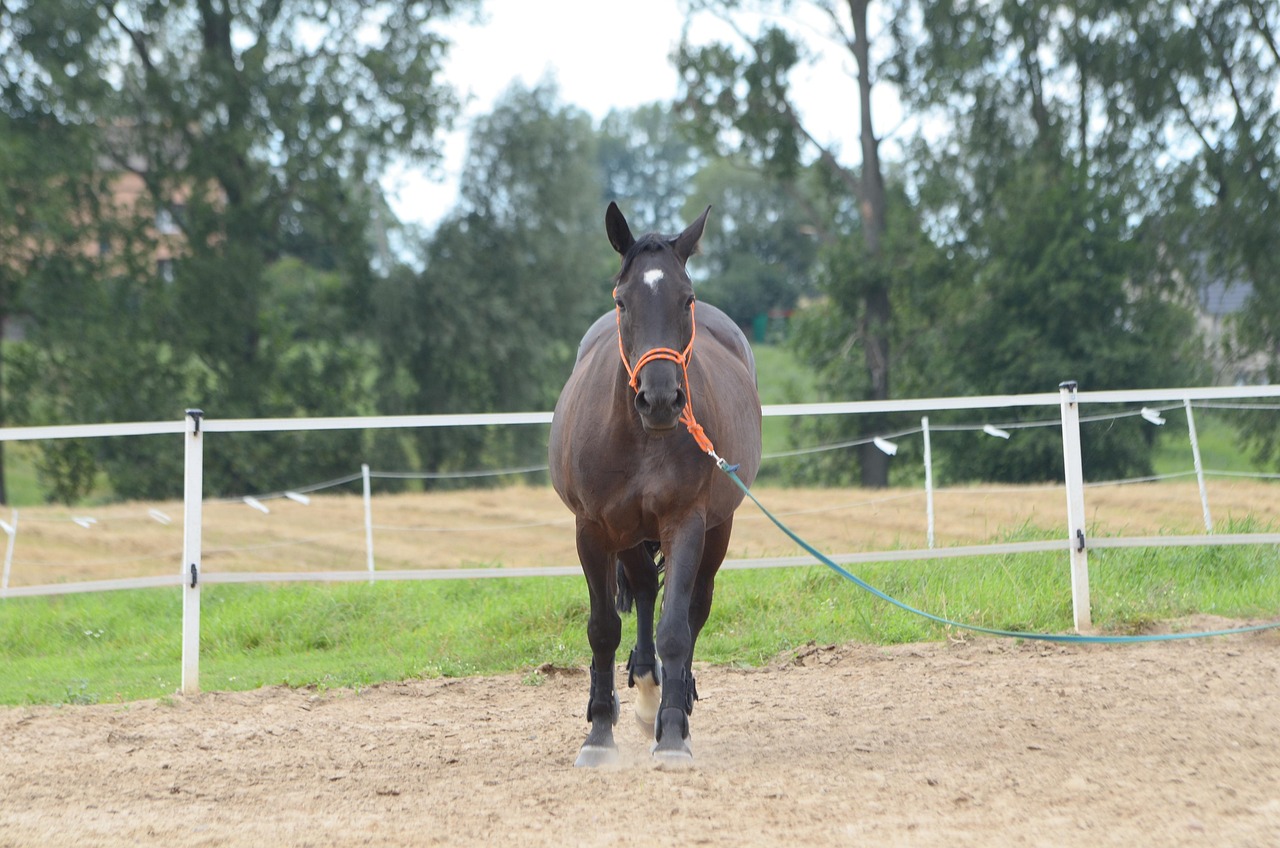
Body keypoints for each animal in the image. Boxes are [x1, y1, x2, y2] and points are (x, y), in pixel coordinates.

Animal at [548, 202, 763, 767]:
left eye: (686, 298)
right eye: (622, 301)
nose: (661, 398)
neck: (641, 437)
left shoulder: (685, 523)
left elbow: (675, 629)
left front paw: (671, 734)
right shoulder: (593, 528)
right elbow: (603, 628)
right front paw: (599, 732)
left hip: (717, 529)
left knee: (693, 609)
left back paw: (671, 702)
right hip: (626, 533)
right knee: (644, 588)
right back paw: (641, 691)